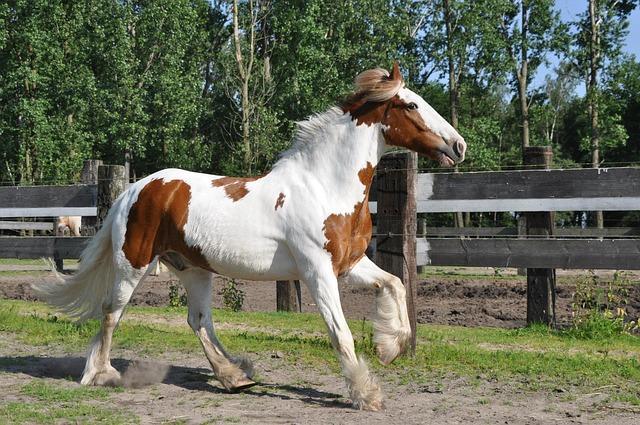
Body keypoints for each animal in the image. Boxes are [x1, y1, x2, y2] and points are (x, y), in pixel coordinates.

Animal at [34, 63, 466, 411]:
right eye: (411, 106)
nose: (458, 145)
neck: (324, 186)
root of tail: (135, 189)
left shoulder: (350, 264)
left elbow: (395, 284)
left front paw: (389, 347)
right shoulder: (317, 271)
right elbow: (340, 332)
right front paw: (366, 393)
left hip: (193, 268)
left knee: (198, 320)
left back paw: (235, 375)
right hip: (134, 263)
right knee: (112, 312)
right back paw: (101, 374)